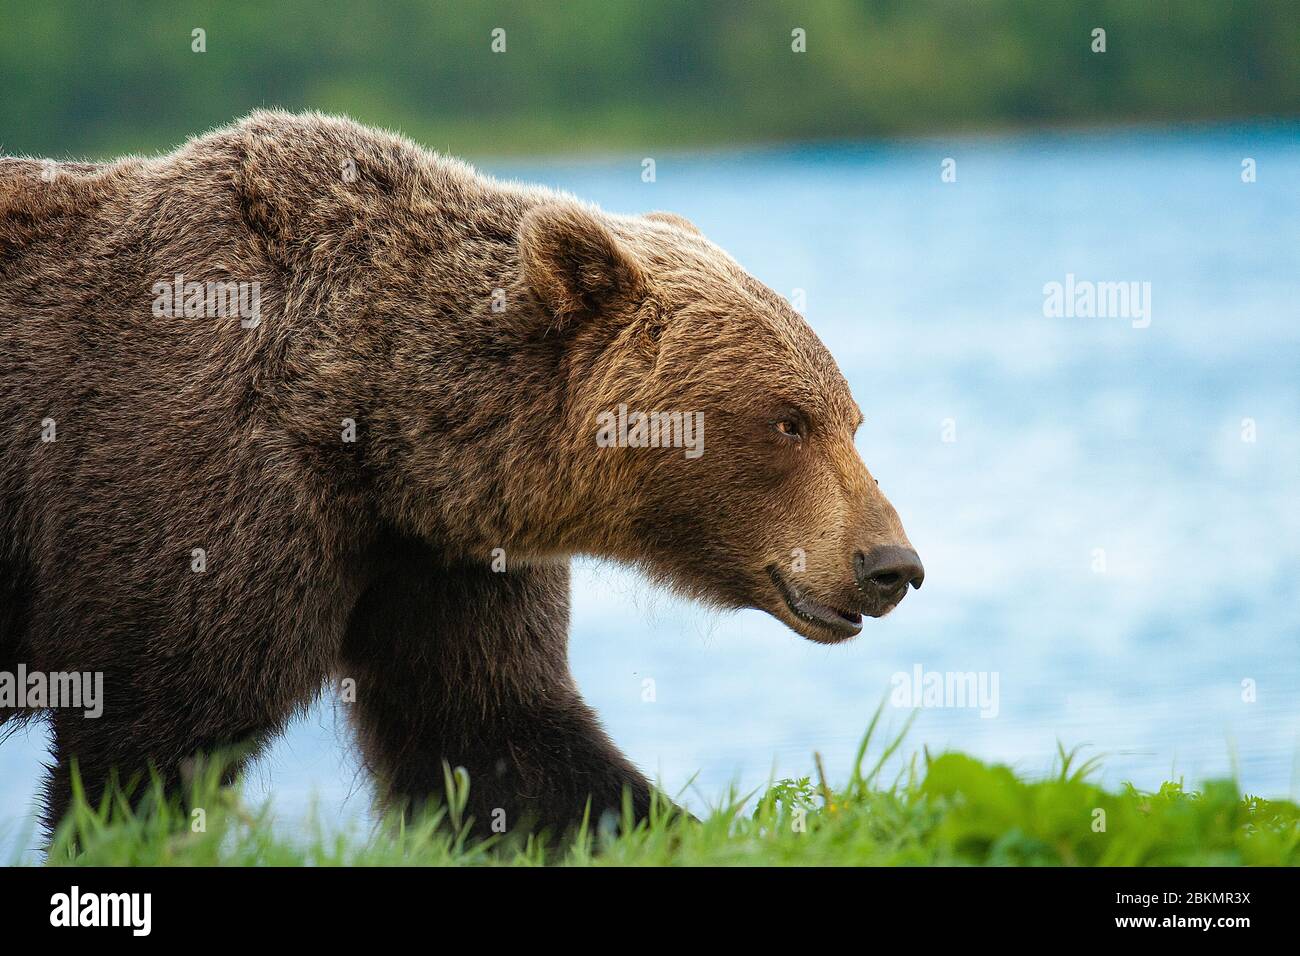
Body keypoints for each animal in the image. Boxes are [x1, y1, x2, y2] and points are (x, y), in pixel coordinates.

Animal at [0, 111, 923, 839]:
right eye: (788, 421)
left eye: (851, 418)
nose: (892, 564)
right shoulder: (198, 484)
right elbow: (157, 739)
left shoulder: (440, 562)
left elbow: (496, 737)